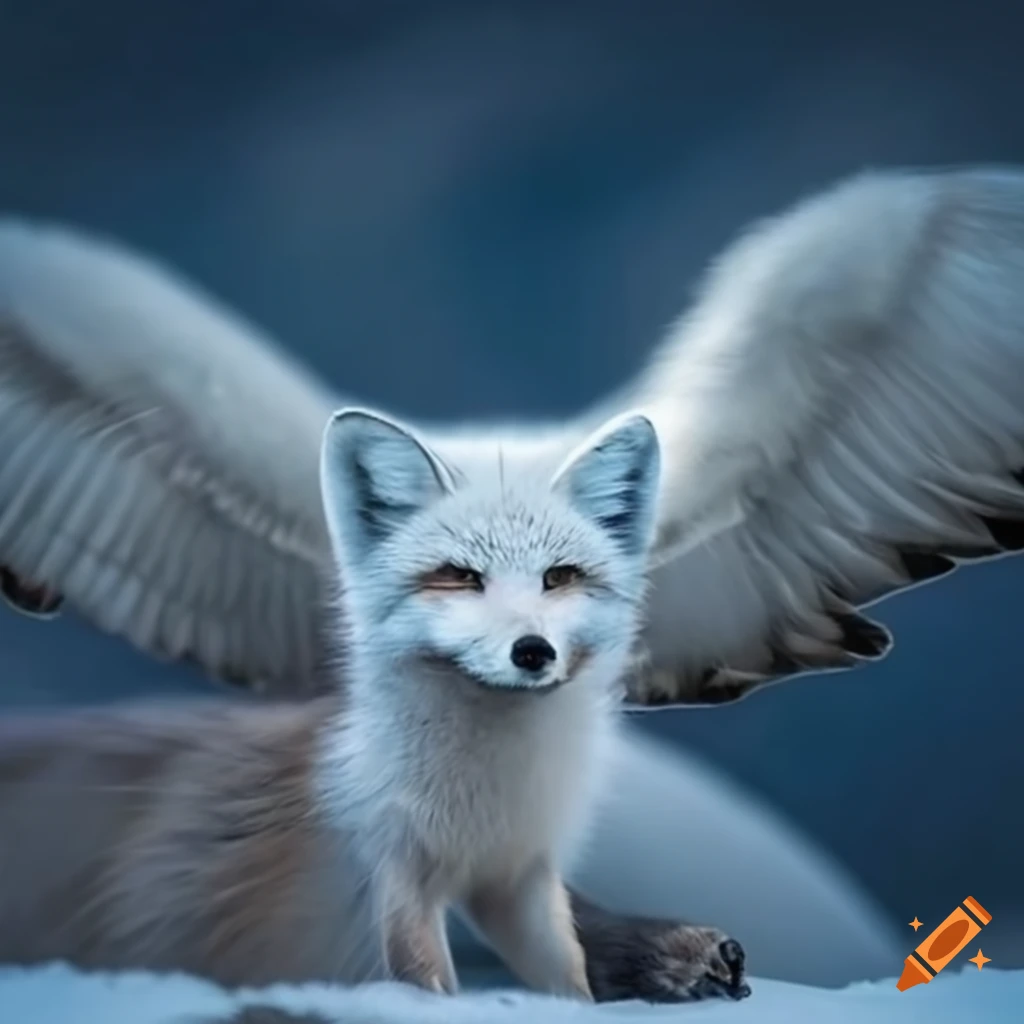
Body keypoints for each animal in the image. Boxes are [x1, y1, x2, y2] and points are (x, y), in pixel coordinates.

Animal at [0, 408, 748, 1005]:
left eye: (559, 576)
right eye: (460, 576)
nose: (532, 651)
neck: (483, 804)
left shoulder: (522, 878)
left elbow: (569, 980)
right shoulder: (394, 868)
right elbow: (427, 981)